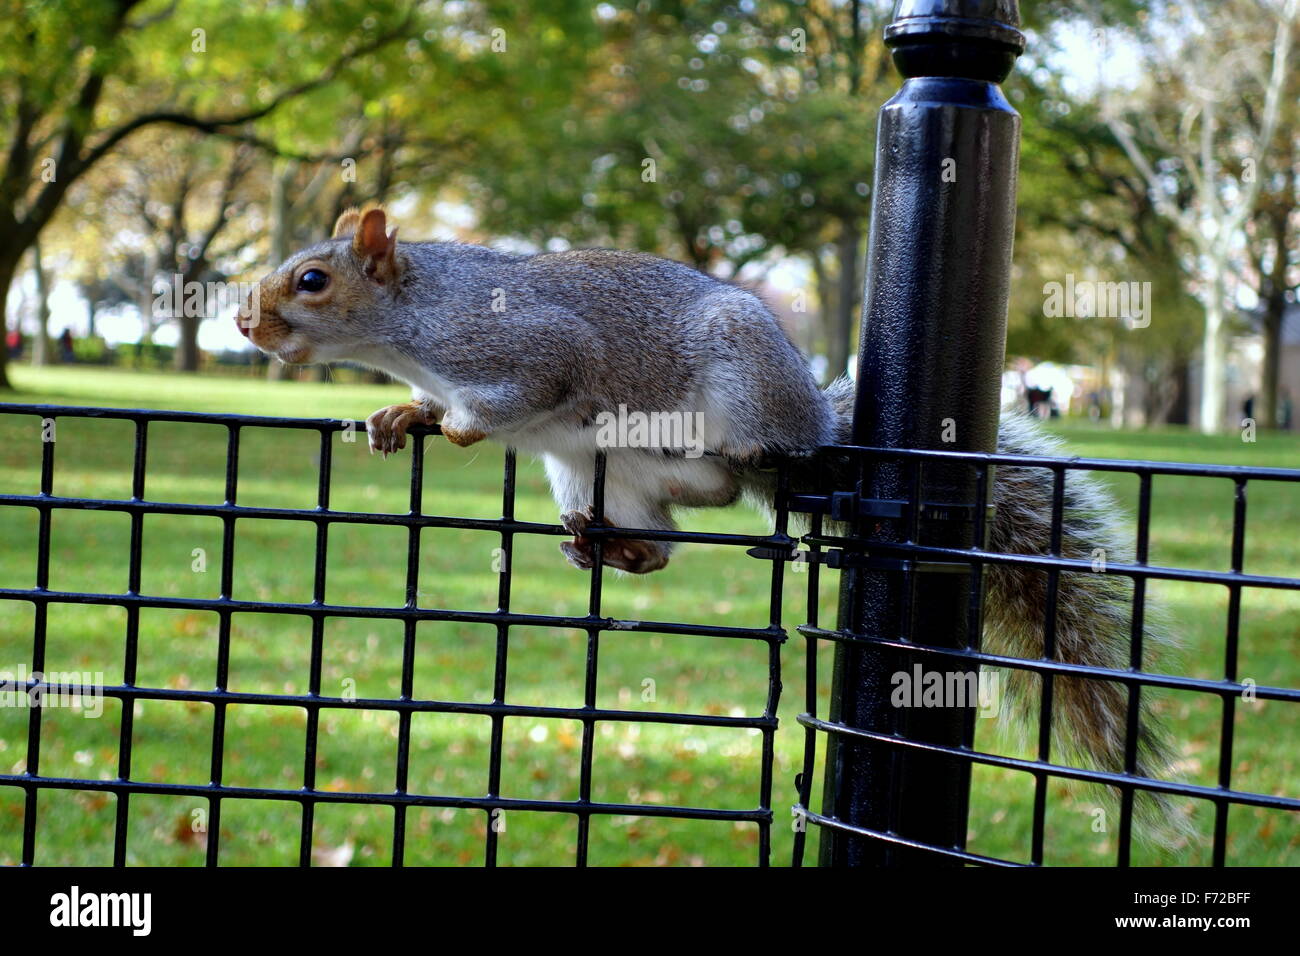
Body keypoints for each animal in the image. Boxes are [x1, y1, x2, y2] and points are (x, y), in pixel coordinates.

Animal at [238, 206, 1184, 840]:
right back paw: (611, 543)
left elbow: (521, 393)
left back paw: (738, 465)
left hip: (739, 390)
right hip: (589, 468)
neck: (415, 321)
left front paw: (460, 425)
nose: (243, 320)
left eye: (313, 280)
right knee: (671, 534)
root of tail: (814, 420)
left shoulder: (528, 350)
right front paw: (404, 414)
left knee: (733, 481)